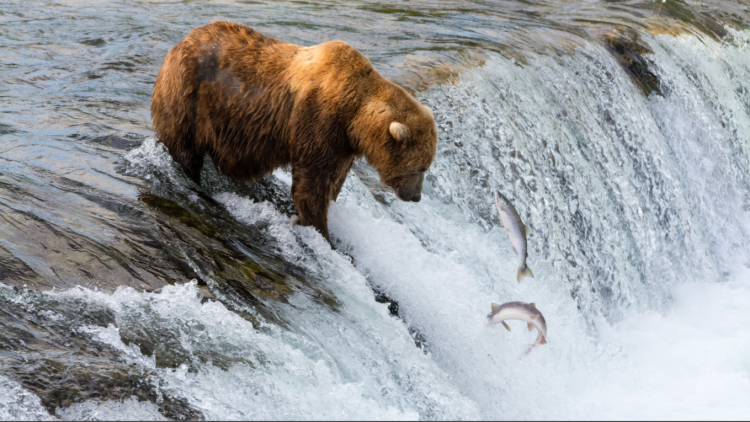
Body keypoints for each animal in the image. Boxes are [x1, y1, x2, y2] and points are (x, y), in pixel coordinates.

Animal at [151, 21, 437, 240]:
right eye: (421, 167)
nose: (416, 197)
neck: (355, 117)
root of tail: (180, 42)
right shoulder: (319, 120)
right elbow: (312, 186)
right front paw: (320, 230)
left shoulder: (342, 145)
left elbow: (333, 181)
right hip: (188, 96)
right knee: (185, 149)